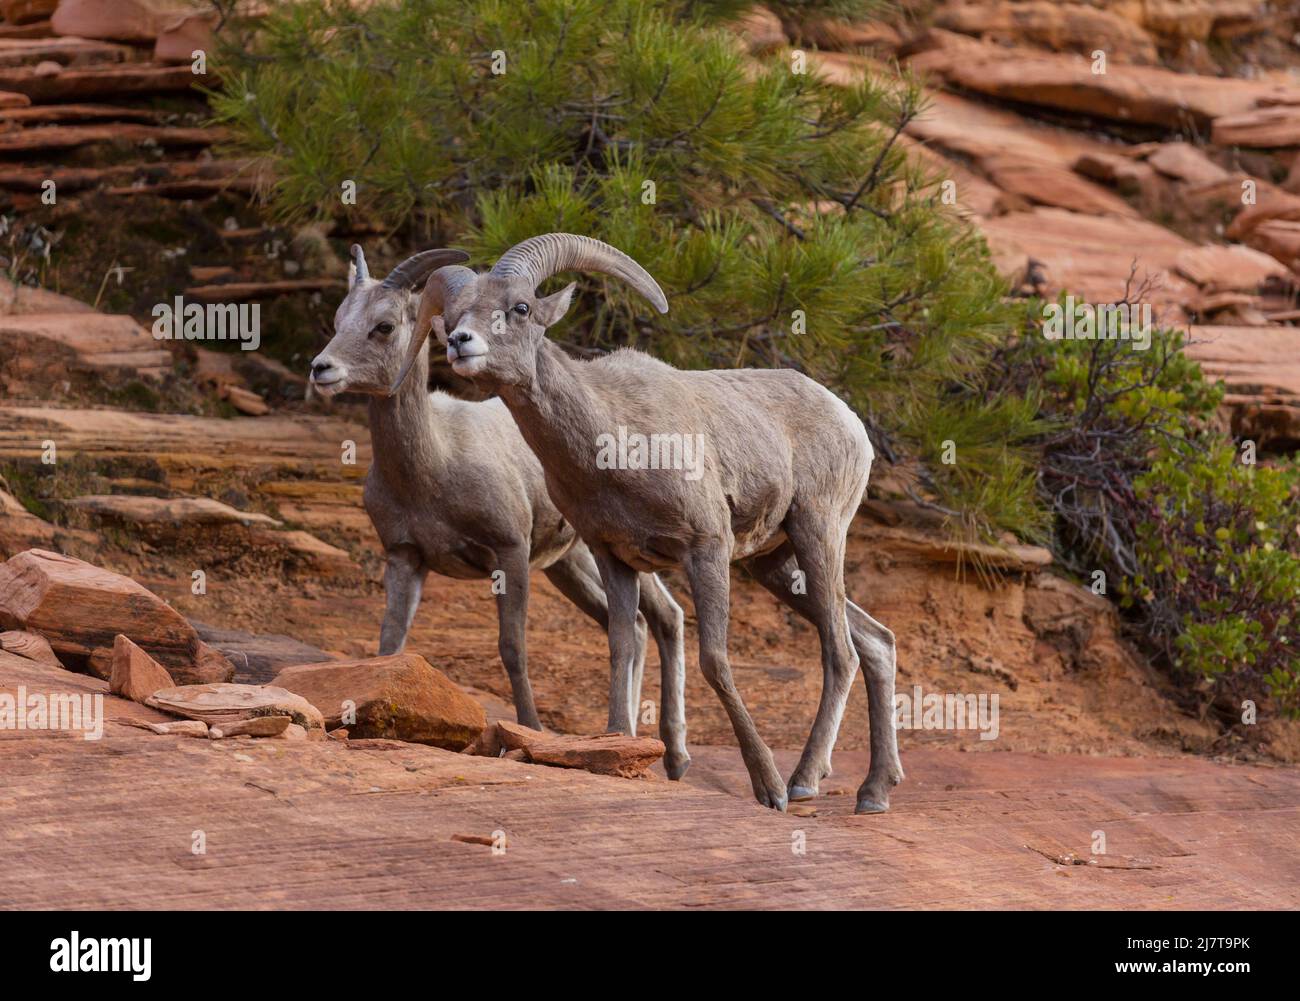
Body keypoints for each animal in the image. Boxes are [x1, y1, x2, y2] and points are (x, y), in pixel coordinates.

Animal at [308, 245, 689, 778]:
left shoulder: (509, 553)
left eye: (383, 326)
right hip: (571, 564)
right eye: (339, 319)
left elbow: (513, 649)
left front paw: (526, 733)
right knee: (634, 624)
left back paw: (672, 757)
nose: (321, 369)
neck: (434, 462)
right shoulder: (405, 558)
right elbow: (389, 646)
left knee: (665, 616)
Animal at [403, 234, 904, 814]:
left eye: (521, 308)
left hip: (816, 534)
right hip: (775, 565)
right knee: (875, 642)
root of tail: (850, 421)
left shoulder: (706, 548)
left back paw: (803, 782)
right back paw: (874, 791)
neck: (614, 441)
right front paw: (618, 743)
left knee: (840, 652)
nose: (461, 343)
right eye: (452, 317)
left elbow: (714, 660)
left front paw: (768, 788)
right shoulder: (614, 558)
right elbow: (622, 646)